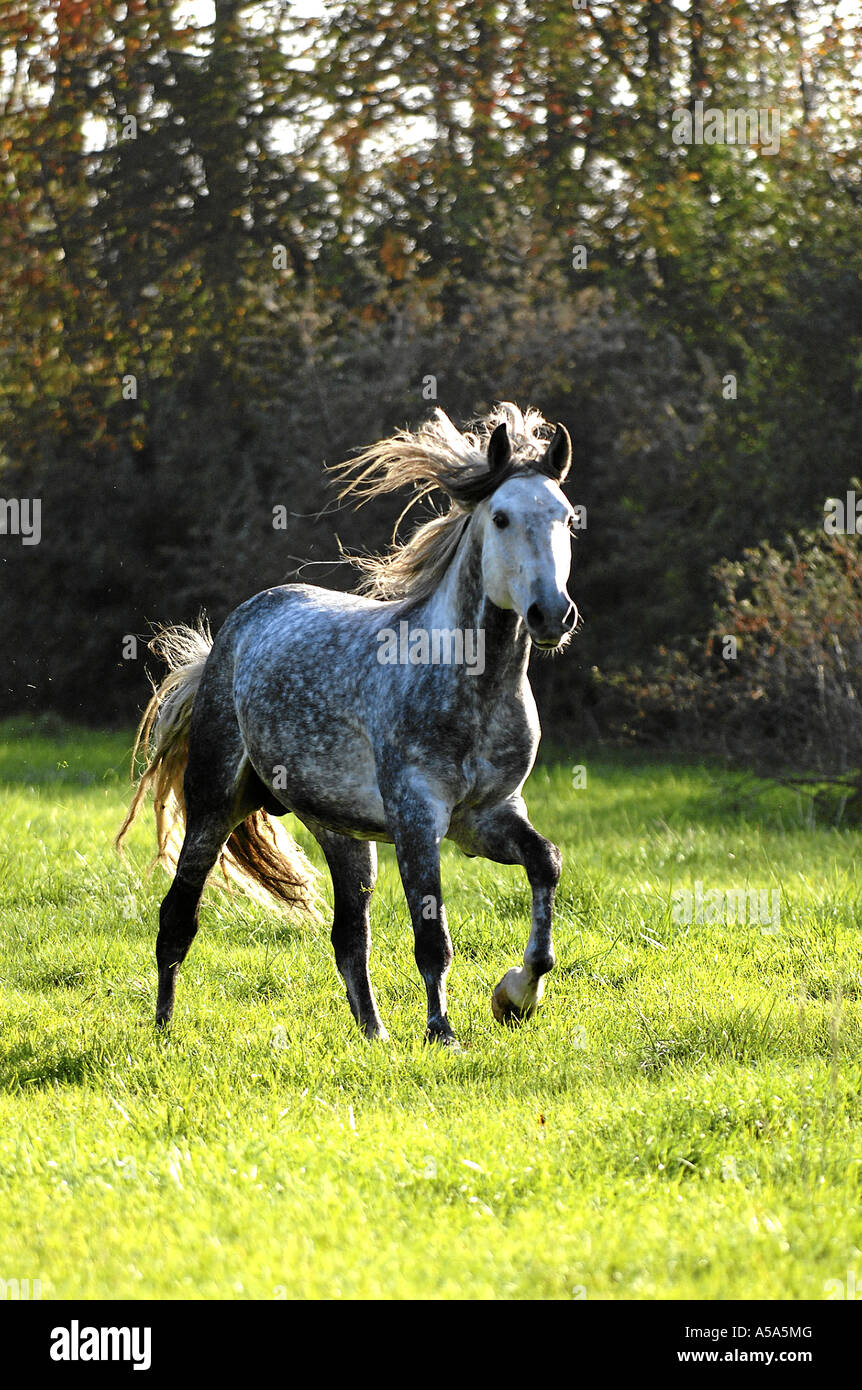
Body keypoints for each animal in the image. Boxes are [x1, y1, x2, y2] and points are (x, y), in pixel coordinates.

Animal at [117, 402, 579, 1046]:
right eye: (503, 517)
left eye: (565, 518)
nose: (551, 615)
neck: (471, 691)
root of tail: (229, 636)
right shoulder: (417, 818)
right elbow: (432, 939)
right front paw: (443, 1033)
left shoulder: (486, 818)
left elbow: (547, 865)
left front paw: (516, 994)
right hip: (214, 807)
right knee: (177, 918)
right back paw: (163, 1031)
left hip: (346, 837)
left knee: (348, 939)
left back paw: (374, 1034)